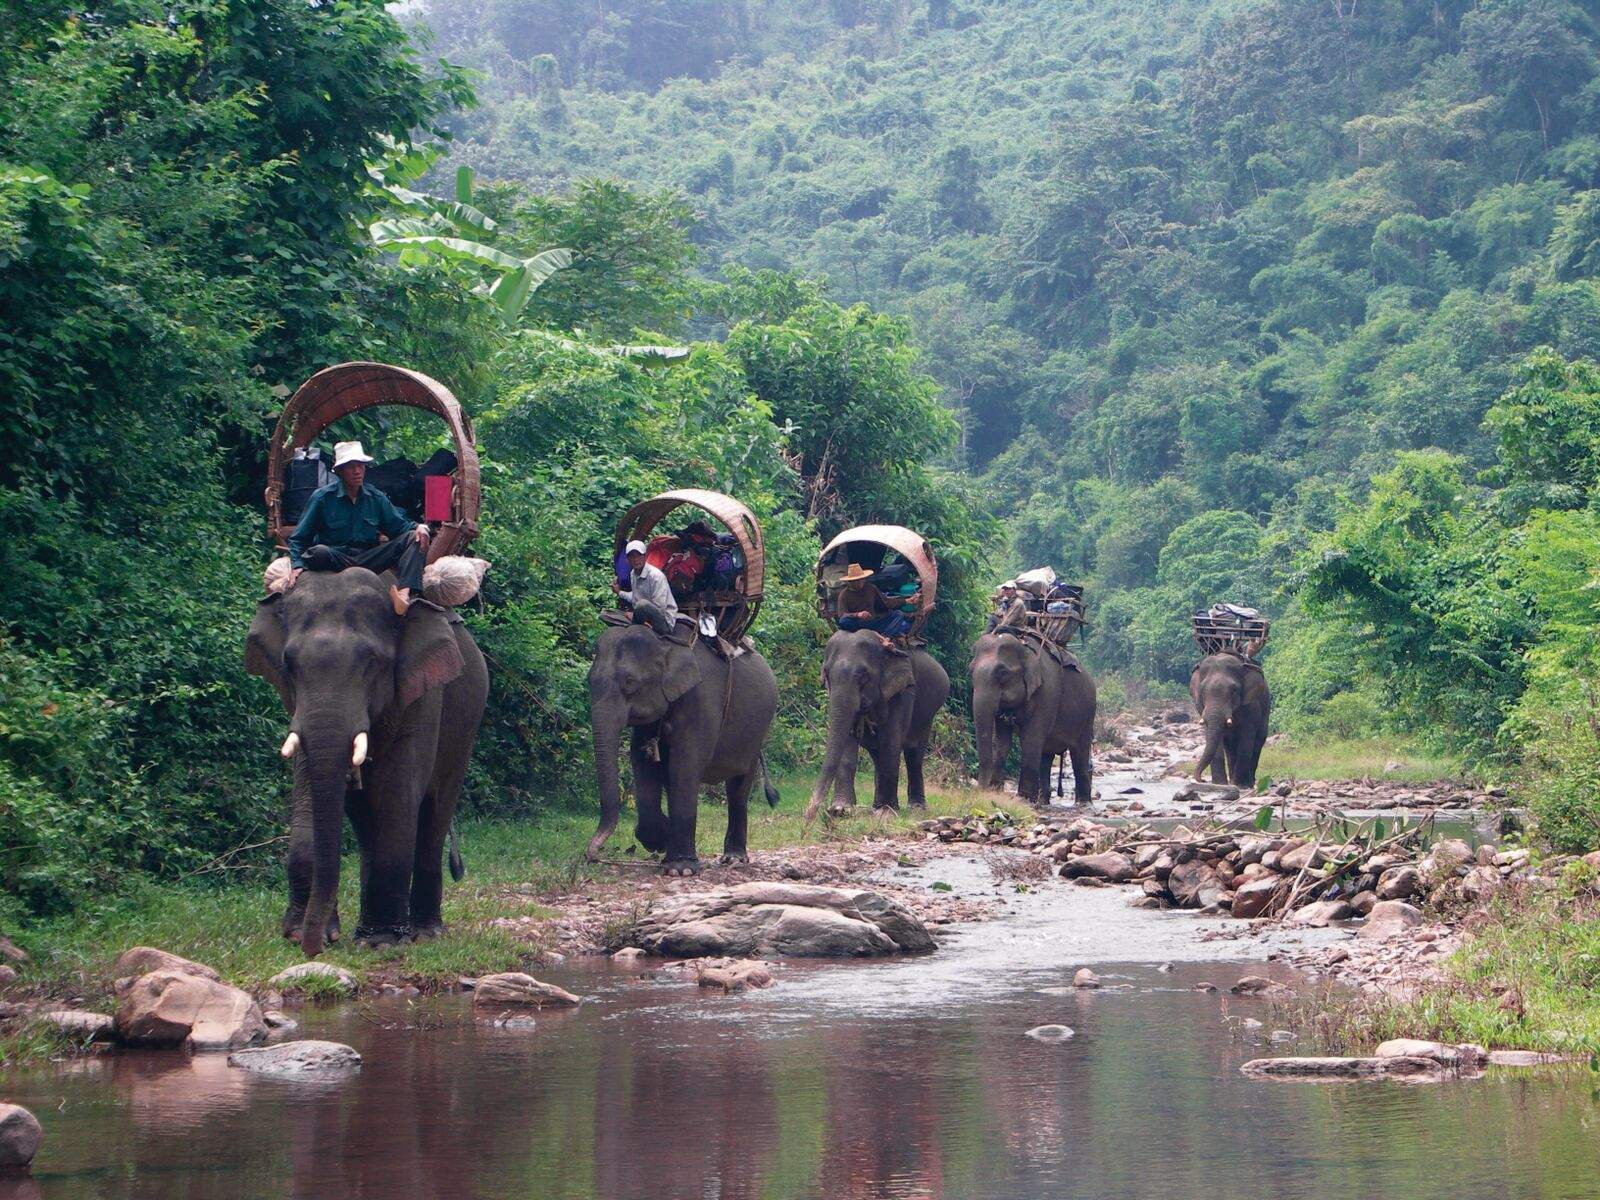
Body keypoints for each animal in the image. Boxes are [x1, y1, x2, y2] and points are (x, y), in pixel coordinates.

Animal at [245, 568, 488, 956]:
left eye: (372, 663)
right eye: (288, 664)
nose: (315, 947)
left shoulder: (422, 694)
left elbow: (396, 794)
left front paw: (380, 942)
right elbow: (310, 790)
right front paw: (299, 933)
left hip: (468, 719)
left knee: (435, 812)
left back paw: (425, 933)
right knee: (364, 819)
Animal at [587, 604, 779, 875]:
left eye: (630, 683)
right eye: (589, 682)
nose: (591, 857)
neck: (665, 643)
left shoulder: (701, 698)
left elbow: (685, 764)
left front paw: (680, 868)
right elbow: (642, 760)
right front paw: (661, 839)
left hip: (758, 729)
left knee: (739, 787)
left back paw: (734, 859)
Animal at [805, 630, 951, 818]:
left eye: (863, 675)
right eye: (826, 674)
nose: (808, 816)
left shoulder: (903, 691)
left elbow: (891, 742)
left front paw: (885, 813)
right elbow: (847, 744)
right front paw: (840, 810)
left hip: (928, 713)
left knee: (914, 755)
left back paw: (916, 808)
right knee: (878, 755)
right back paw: (876, 806)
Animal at [970, 630, 1095, 805]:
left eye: (1002, 673)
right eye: (970, 671)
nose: (983, 790)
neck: (1026, 651)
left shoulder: (1047, 693)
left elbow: (1031, 739)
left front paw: (1023, 798)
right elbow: (1002, 741)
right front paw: (996, 790)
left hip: (1088, 714)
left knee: (1080, 753)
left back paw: (1083, 803)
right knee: (1046, 756)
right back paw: (1042, 801)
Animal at [1191, 653, 1271, 787]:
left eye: (1233, 691)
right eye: (1202, 692)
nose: (1202, 780)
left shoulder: (1251, 704)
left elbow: (1247, 735)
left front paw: (1240, 784)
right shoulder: (1201, 708)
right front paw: (1219, 783)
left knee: (1258, 740)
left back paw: (1248, 782)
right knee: (1229, 746)